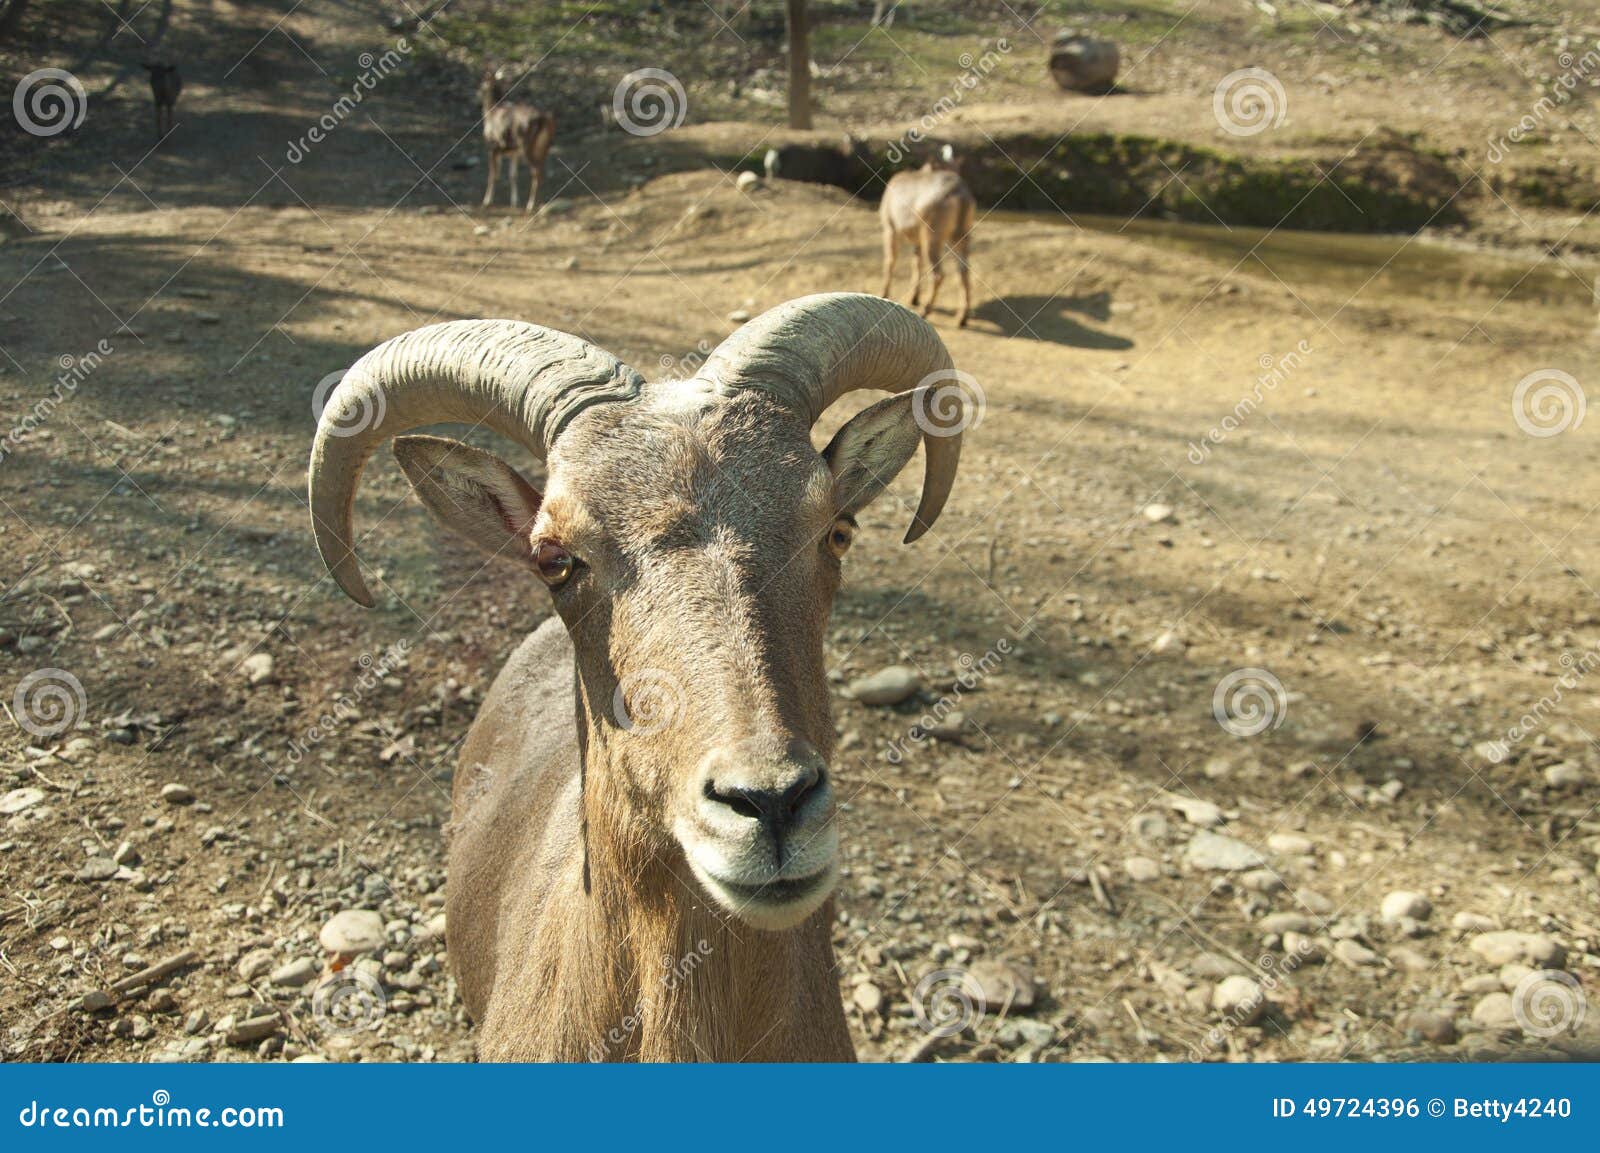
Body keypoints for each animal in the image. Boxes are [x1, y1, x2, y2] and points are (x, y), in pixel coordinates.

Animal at [478, 68, 556, 213]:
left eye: (482, 82)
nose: (478, 92)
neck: (490, 112)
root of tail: (543, 119)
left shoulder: (492, 146)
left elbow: (492, 174)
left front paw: (486, 201)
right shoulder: (513, 153)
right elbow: (512, 175)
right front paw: (514, 202)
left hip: (527, 144)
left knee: (536, 171)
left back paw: (531, 205)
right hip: (544, 147)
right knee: (542, 170)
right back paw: (542, 203)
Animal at [879, 144, 976, 327]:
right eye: (953, 166)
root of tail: (961, 194)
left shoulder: (890, 227)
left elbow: (890, 261)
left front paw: (883, 294)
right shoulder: (916, 240)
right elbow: (916, 263)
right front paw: (913, 297)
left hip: (931, 235)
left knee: (938, 273)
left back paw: (926, 310)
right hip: (961, 235)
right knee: (963, 271)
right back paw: (962, 317)